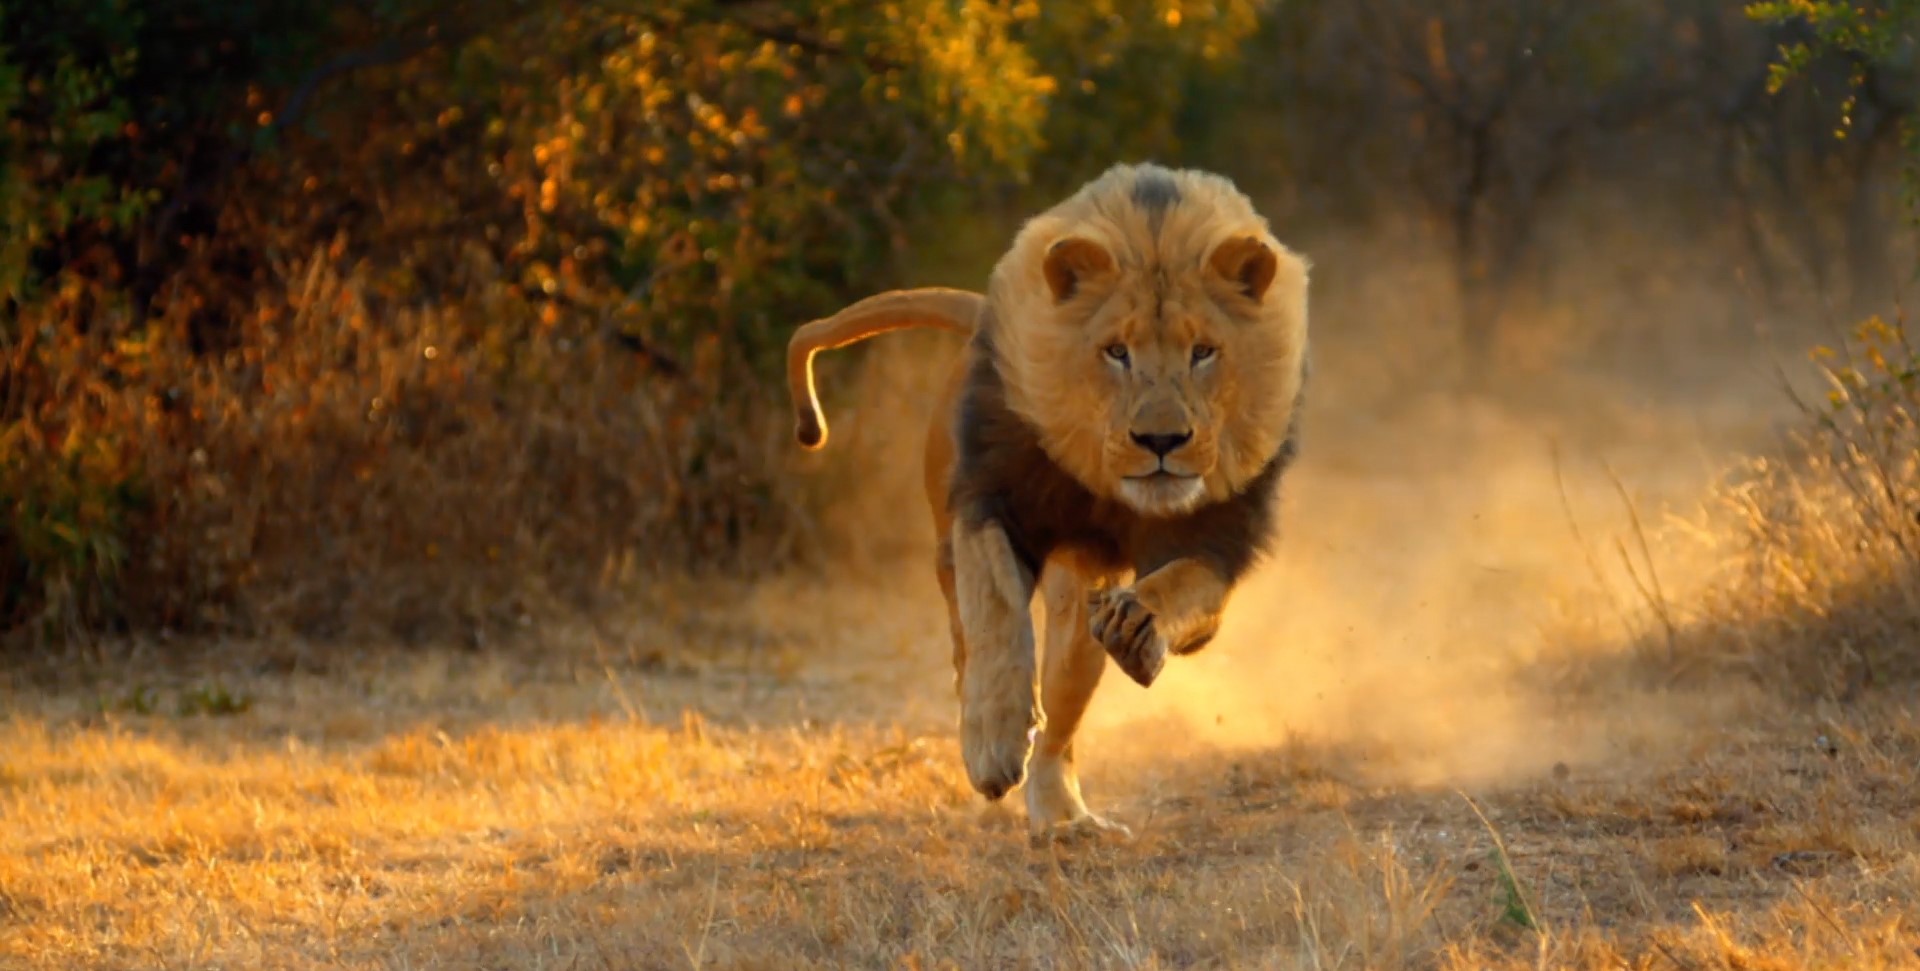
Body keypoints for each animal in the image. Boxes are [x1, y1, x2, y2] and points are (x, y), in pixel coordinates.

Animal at [785, 162, 1311, 842]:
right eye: (1116, 351)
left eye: (1204, 352)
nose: (1161, 441)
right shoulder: (991, 503)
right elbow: (995, 610)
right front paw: (993, 741)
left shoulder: (1217, 544)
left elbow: (1179, 586)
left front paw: (1137, 627)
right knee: (963, 635)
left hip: (1077, 610)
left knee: (1062, 727)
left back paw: (1065, 819)